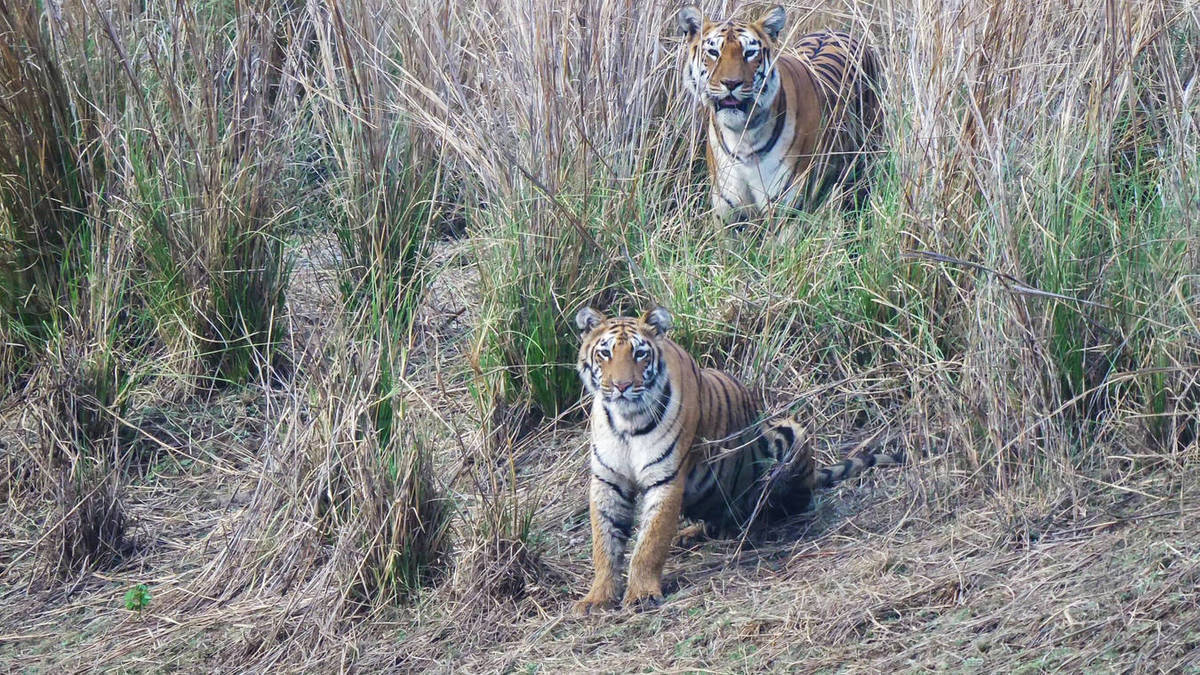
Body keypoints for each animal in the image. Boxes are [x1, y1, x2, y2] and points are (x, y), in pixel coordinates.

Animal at [573, 306, 901, 614]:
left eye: (640, 354)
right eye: (605, 353)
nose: (622, 386)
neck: (626, 420)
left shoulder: (666, 479)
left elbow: (650, 541)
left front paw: (641, 594)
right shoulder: (607, 480)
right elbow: (604, 542)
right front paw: (598, 598)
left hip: (788, 433)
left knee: (784, 506)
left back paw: (752, 529)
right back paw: (692, 534)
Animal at [677, 4, 882, 221]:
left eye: (750, 53)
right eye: (713, 52)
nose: (731, 83)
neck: (742, 136)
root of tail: (833, 29)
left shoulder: (788, 208)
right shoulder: (727, 210)